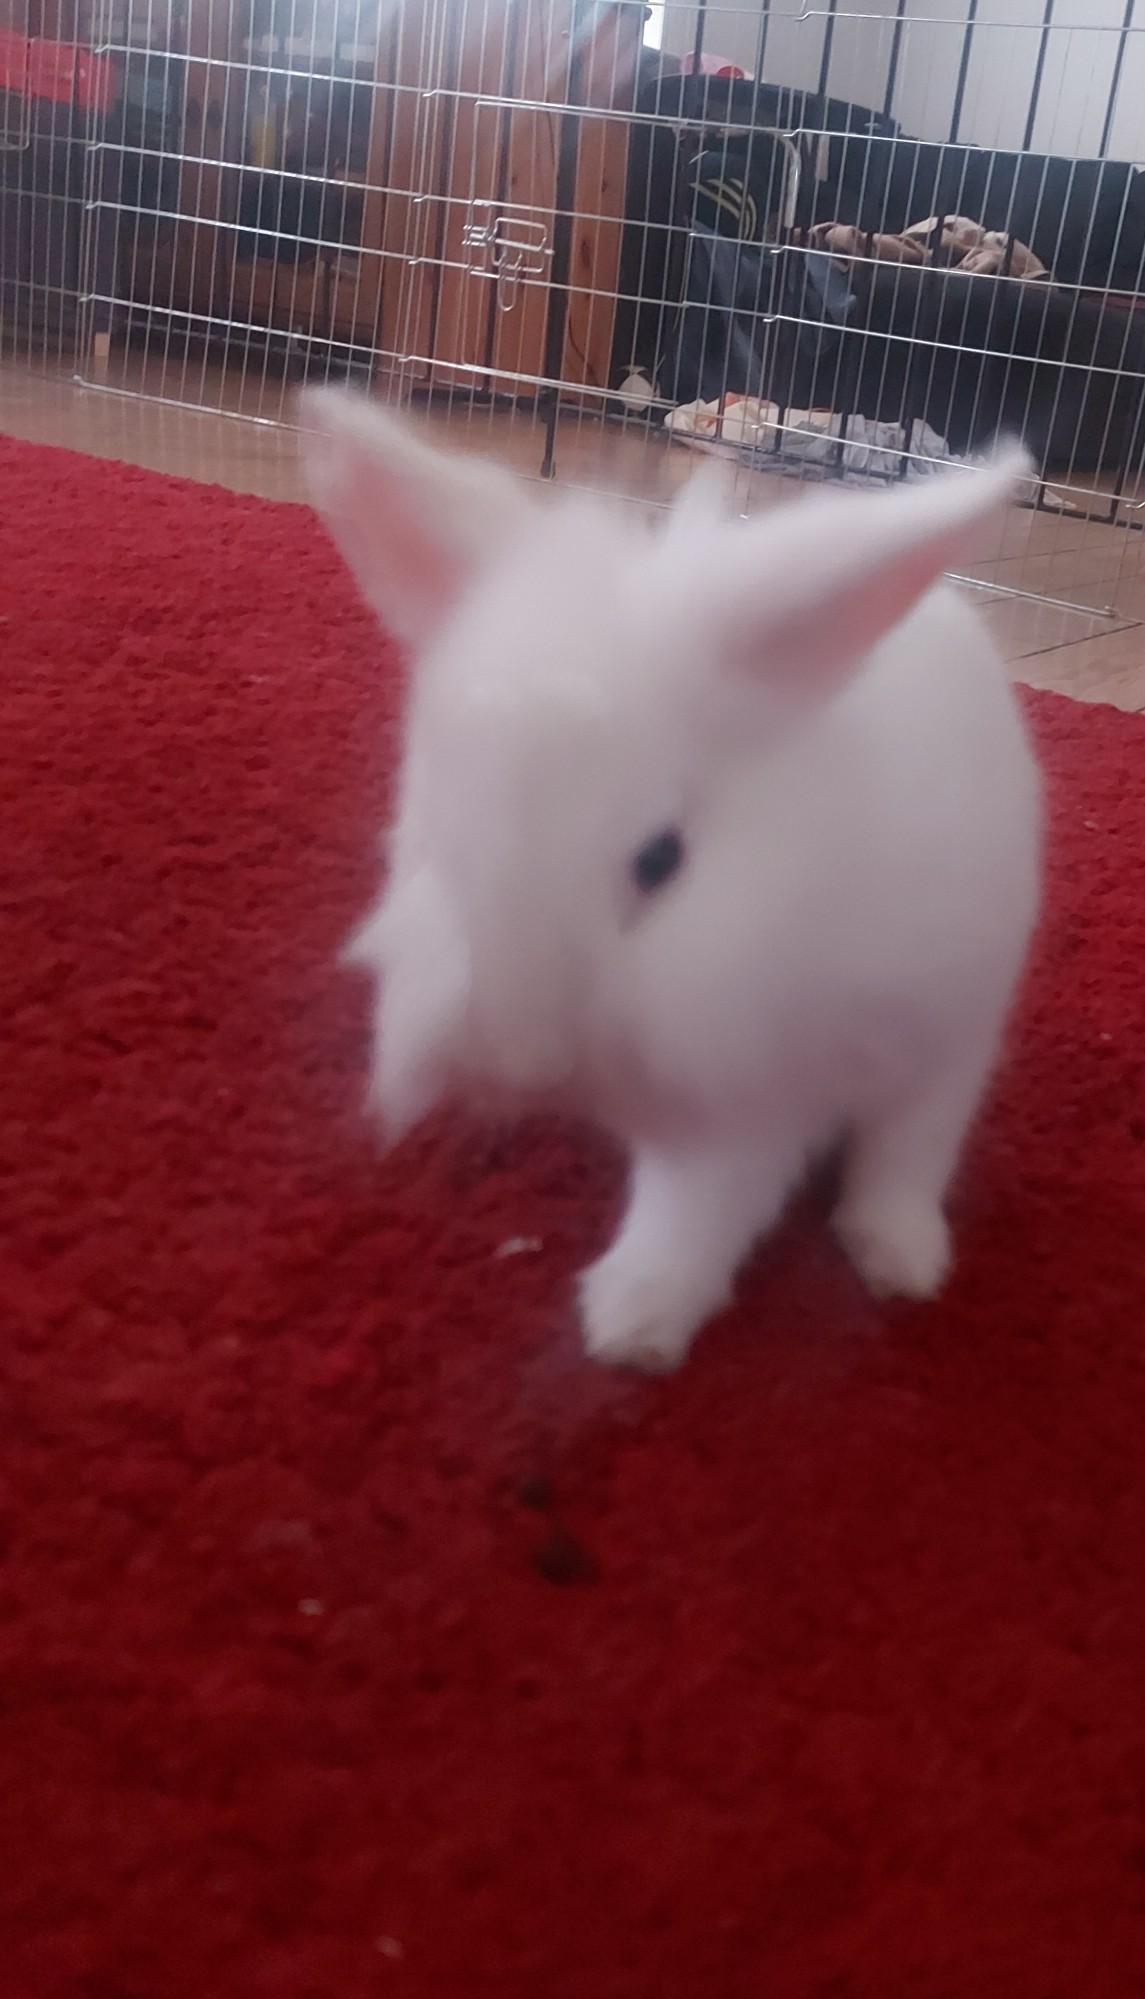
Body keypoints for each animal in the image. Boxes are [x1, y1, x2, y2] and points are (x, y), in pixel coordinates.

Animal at [302, 389, 1042, 1373]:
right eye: (440, 835)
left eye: (661, 860)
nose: (519, 1059)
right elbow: (699, 1208)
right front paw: (634, 1320)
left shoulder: (876, 1051)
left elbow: (851, 1168)